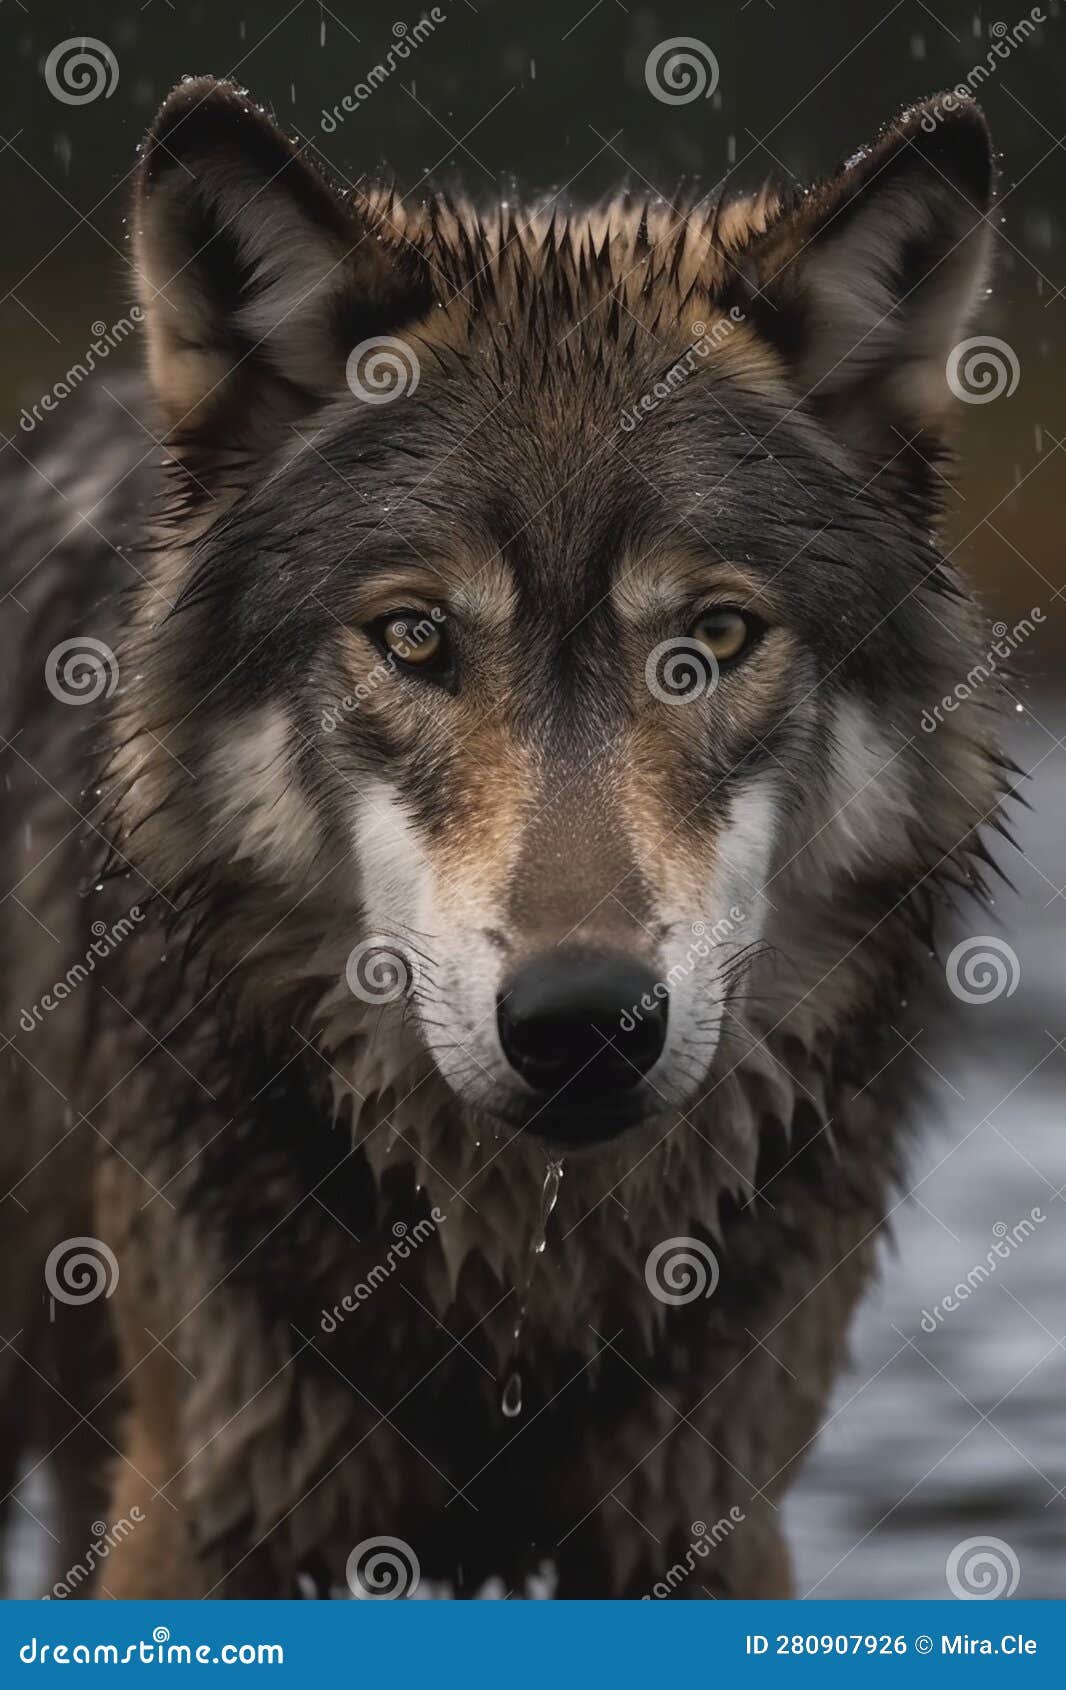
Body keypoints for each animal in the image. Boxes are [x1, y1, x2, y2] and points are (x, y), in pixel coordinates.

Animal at [0, 79, 1009, 1598]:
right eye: (415, 637)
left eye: (713, 639)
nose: (586, 1019)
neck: (523, 1299)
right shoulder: (200, 1507)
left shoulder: (710, 1521)